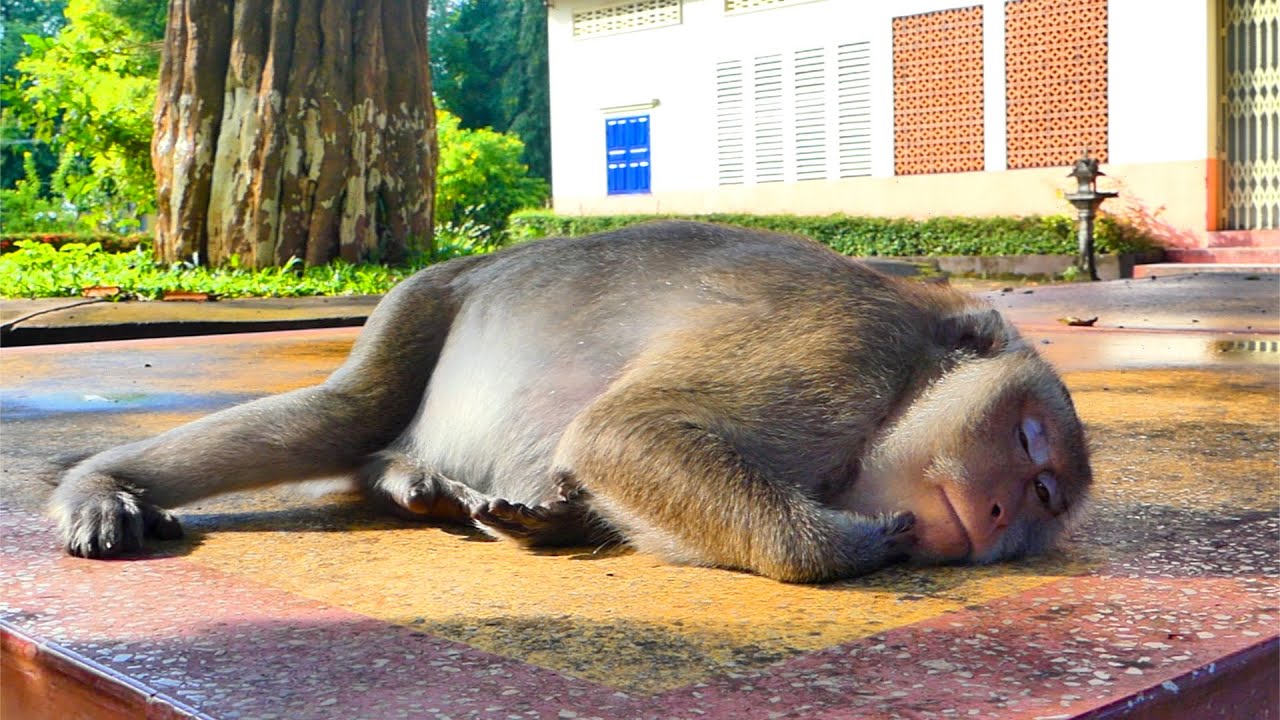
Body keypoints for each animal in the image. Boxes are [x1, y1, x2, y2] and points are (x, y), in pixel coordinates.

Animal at [48, 221, 1092, 583]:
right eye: (1027, 443)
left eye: (1042, 503)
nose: (1005, 506)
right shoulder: (843, 353)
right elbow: (625, 435)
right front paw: (835, 549)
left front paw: (544, 520)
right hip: (419, 302)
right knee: (341, 414)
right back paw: (97, 485)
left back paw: (409, 483)